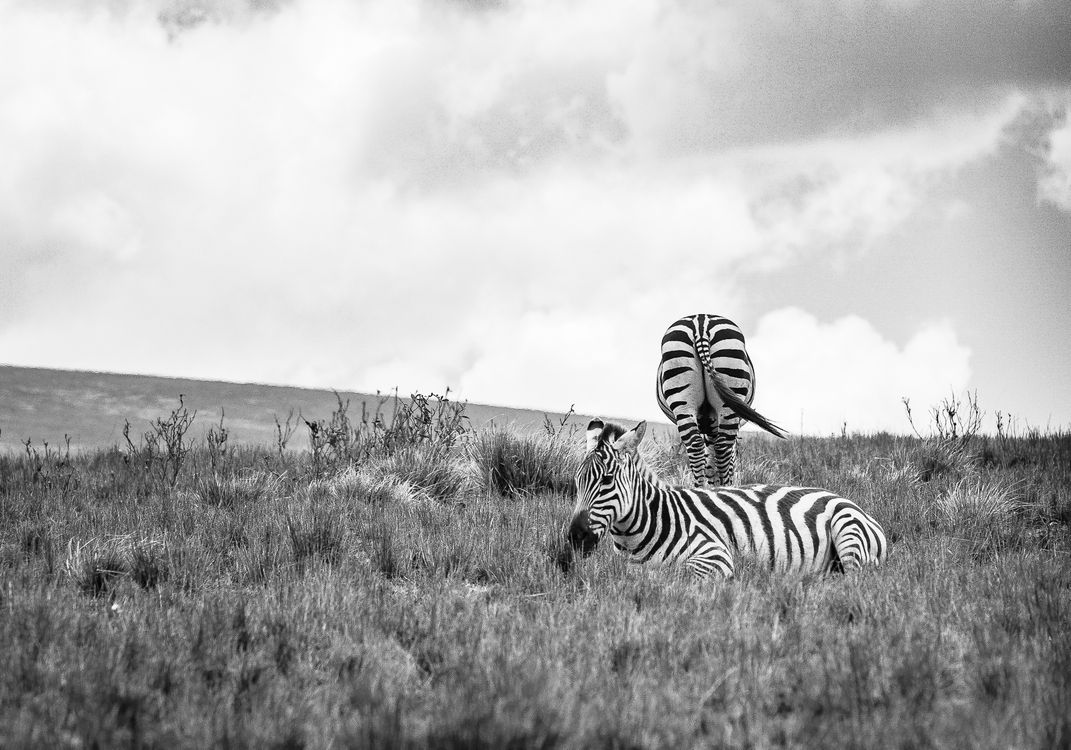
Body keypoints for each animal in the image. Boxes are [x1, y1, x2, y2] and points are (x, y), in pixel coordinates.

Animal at [567, 419, 886, 579]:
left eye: (607, 480)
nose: (575, 536)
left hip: (848, 533)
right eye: (577, 481)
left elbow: (674, 574)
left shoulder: (715, 555)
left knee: (853, 581)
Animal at [657, 313, 785, 487]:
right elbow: (724, 460)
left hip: (682, 399)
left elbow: (709, 462)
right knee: (723, 447)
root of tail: (701, 323)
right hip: (728, 399)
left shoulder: (709, 424)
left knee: (695, 446)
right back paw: (726, 487)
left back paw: (700, 488)